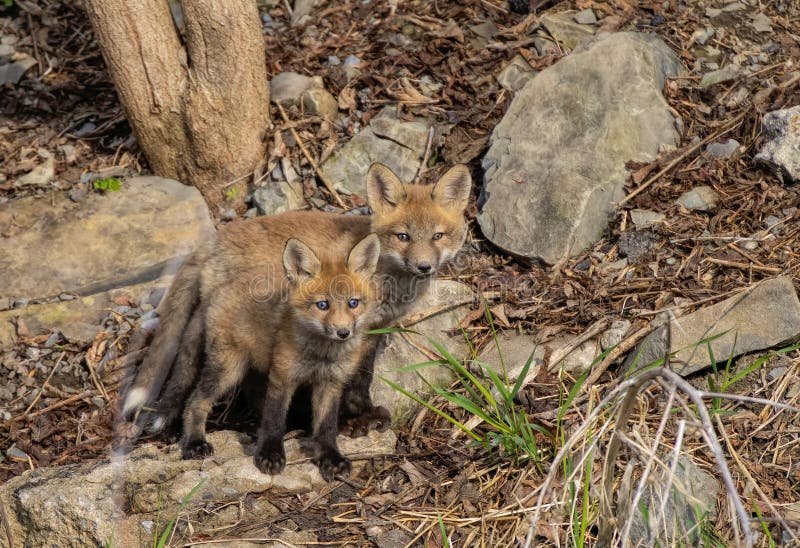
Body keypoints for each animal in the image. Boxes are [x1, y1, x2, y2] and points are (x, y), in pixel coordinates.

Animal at [120, 163, 472, 442]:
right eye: (403, 237)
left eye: (438, 236)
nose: (424, 267)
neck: (388, 282)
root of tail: (213, 241)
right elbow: (349, 379)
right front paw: (351, 419)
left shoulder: (374, 330)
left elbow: (363, 376)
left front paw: (360, 410)